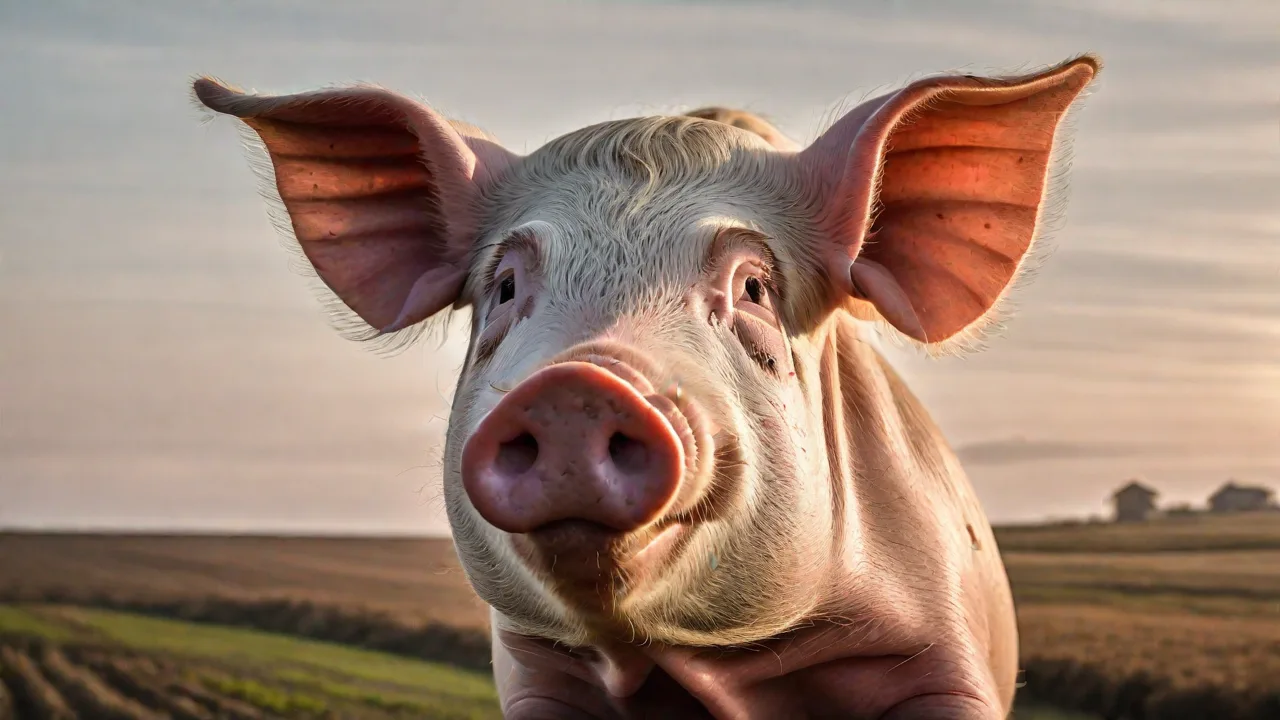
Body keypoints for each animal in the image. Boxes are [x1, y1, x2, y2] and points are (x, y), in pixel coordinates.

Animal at [194, 54, 1099, 719]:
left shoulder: (940, 658)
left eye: (754, 288)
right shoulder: (534, 667)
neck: (698, 667)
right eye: (506, 288)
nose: (575, 387)